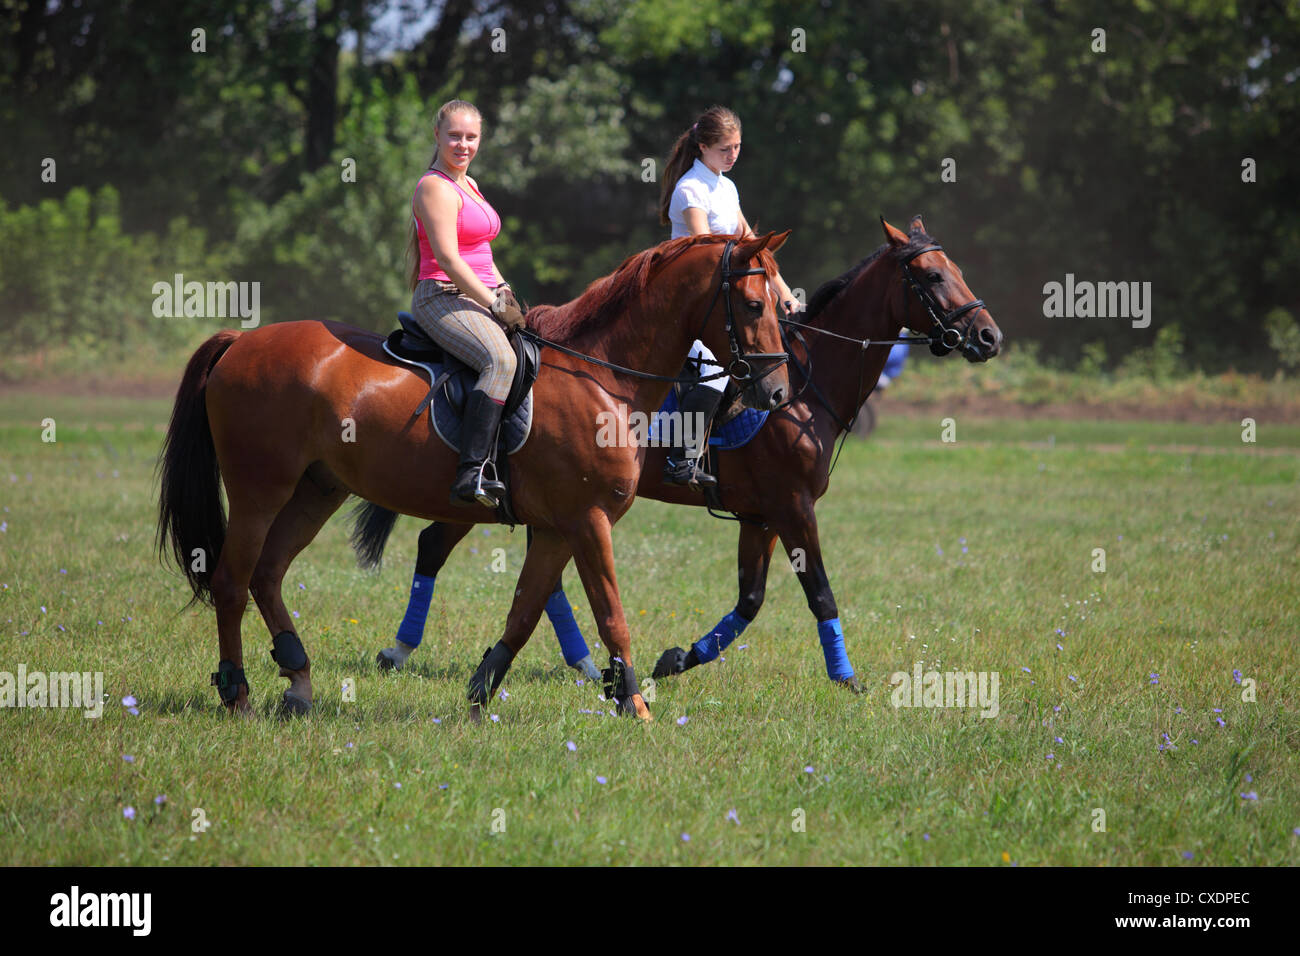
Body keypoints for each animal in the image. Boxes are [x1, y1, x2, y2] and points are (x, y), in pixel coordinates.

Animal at [156, 232, 792, 720]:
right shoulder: (588, 521)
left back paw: (299, 681)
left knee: (267, 574)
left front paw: (480, 694)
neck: (600, 376)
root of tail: (241, 341)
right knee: (232, 581)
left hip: (317, 490)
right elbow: (611, 614)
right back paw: (237, 694)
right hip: (260, 491)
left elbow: (524, 612)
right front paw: (635, 705)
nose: (778, 394)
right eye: (753, 306)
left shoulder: (557, 529)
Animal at [357, 216, 1002, 691]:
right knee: (436, 545)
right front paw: (846, 679)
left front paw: (677, 659)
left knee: (530, 575)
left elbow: (750, 600)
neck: (803, 387)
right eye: (933, 276)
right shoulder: (793, 507)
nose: (989, 337)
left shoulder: (760, 516)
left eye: (958, 269)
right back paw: (401, 650)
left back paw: (575, 663)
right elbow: (818, 591)